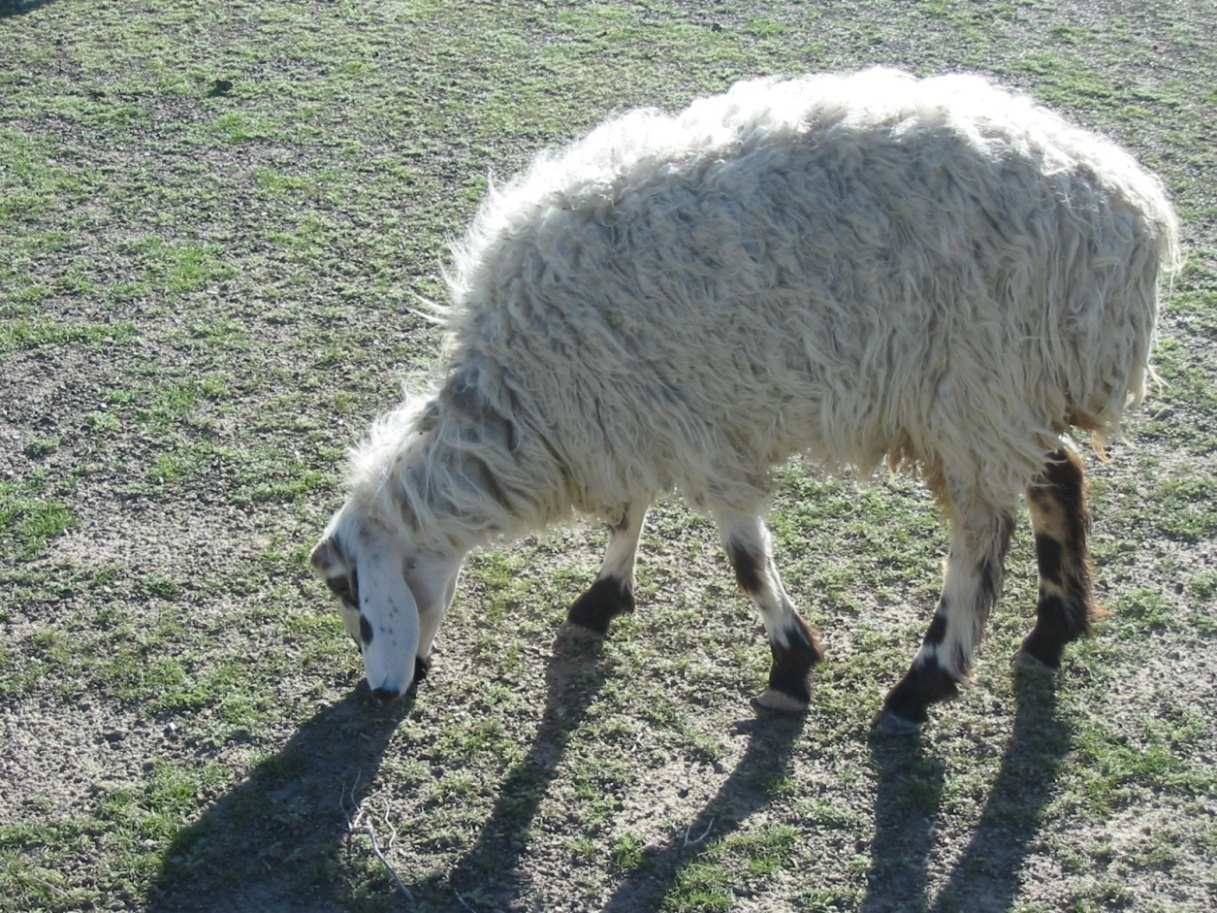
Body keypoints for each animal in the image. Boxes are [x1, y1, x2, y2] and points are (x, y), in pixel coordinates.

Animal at [310, 68, 1180, 732]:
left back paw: (921, 682)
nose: (383, 690)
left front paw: (790, 666)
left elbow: (745, 561)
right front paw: (603, 595)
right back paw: (1052, 631)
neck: (522, 409)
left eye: (352, 593)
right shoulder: (637, 408)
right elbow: (627, 510)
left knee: (978, 537)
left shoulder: (696, 431)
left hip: (978, 386)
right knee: (1058, 479)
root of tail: (1138, 216)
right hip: (1012, 393)